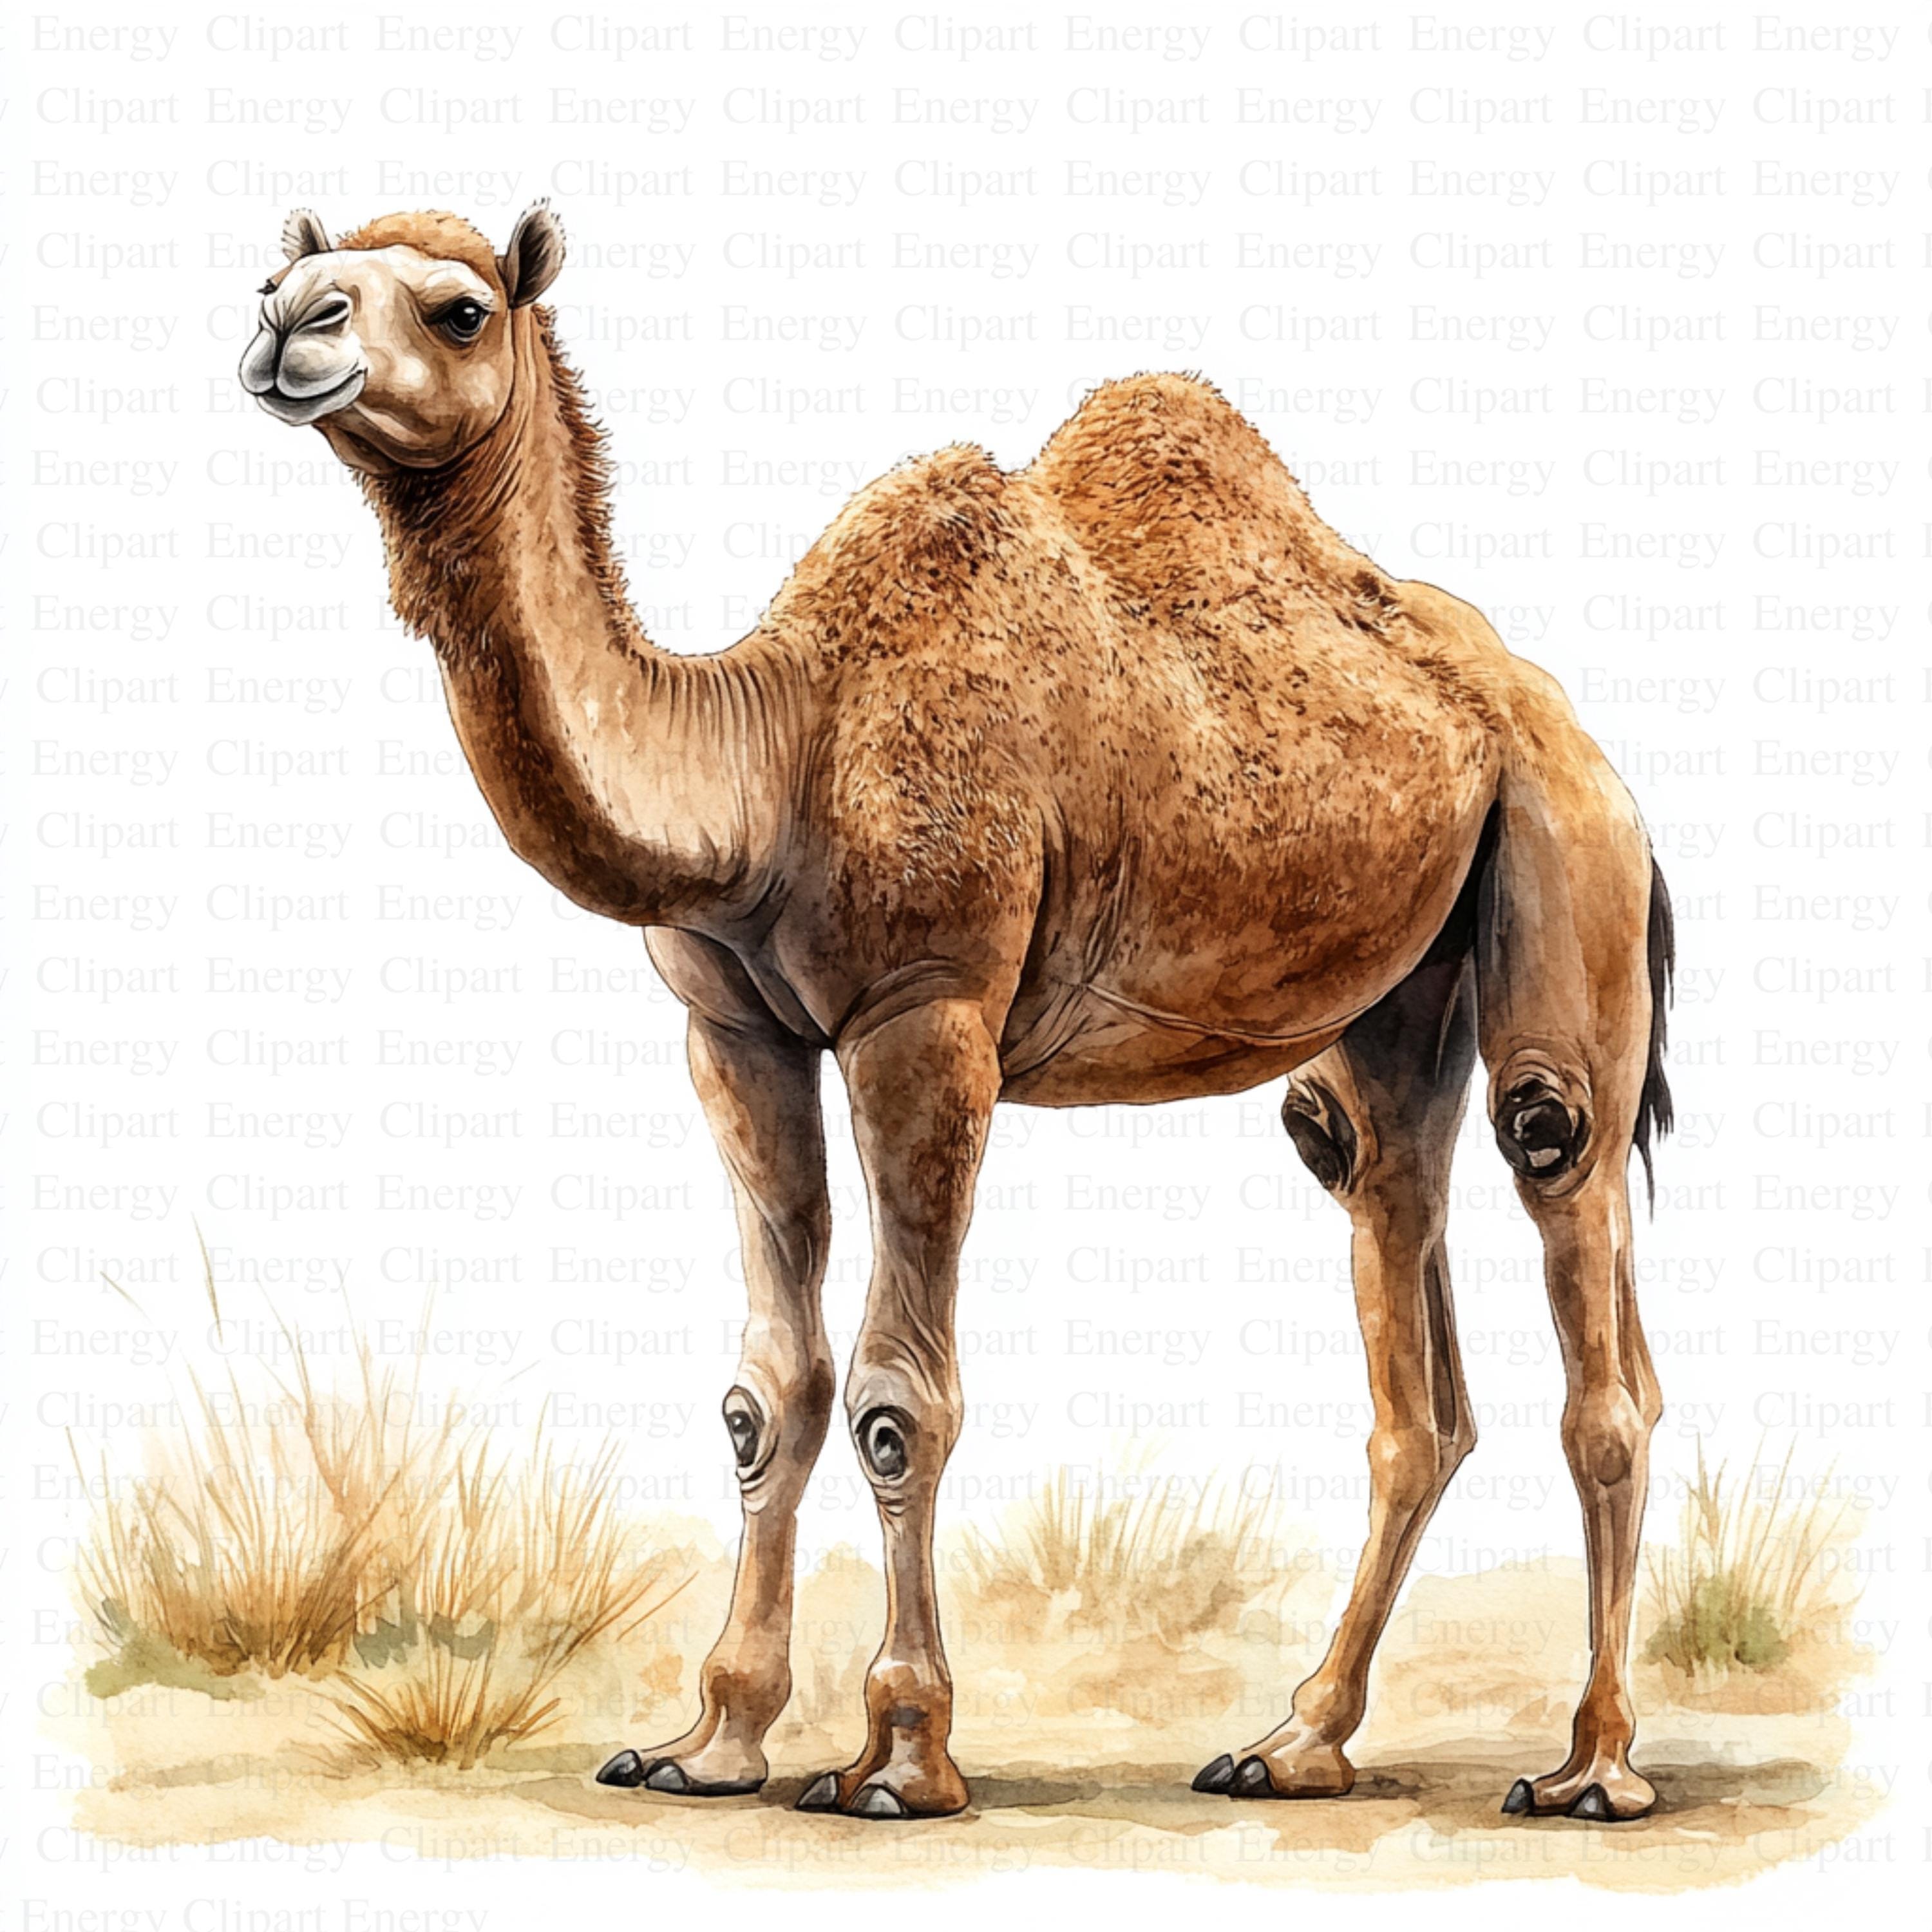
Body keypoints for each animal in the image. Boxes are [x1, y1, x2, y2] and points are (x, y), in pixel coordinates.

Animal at [239, 205, 1675, 1825]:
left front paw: (901, 1757)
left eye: (461, 307)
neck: (770, 760)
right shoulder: (733, 1034)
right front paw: (706, 1743)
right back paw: (1292, 1742)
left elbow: (892, 1399)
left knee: (1570, 1215)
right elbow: (768, 1392)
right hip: (1393, 998)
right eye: (280, 276)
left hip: (1563, 856)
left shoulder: (929, 1017)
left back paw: (1592, 1767)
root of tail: (1558, 722)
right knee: (1392, 1258)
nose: (290, 322)